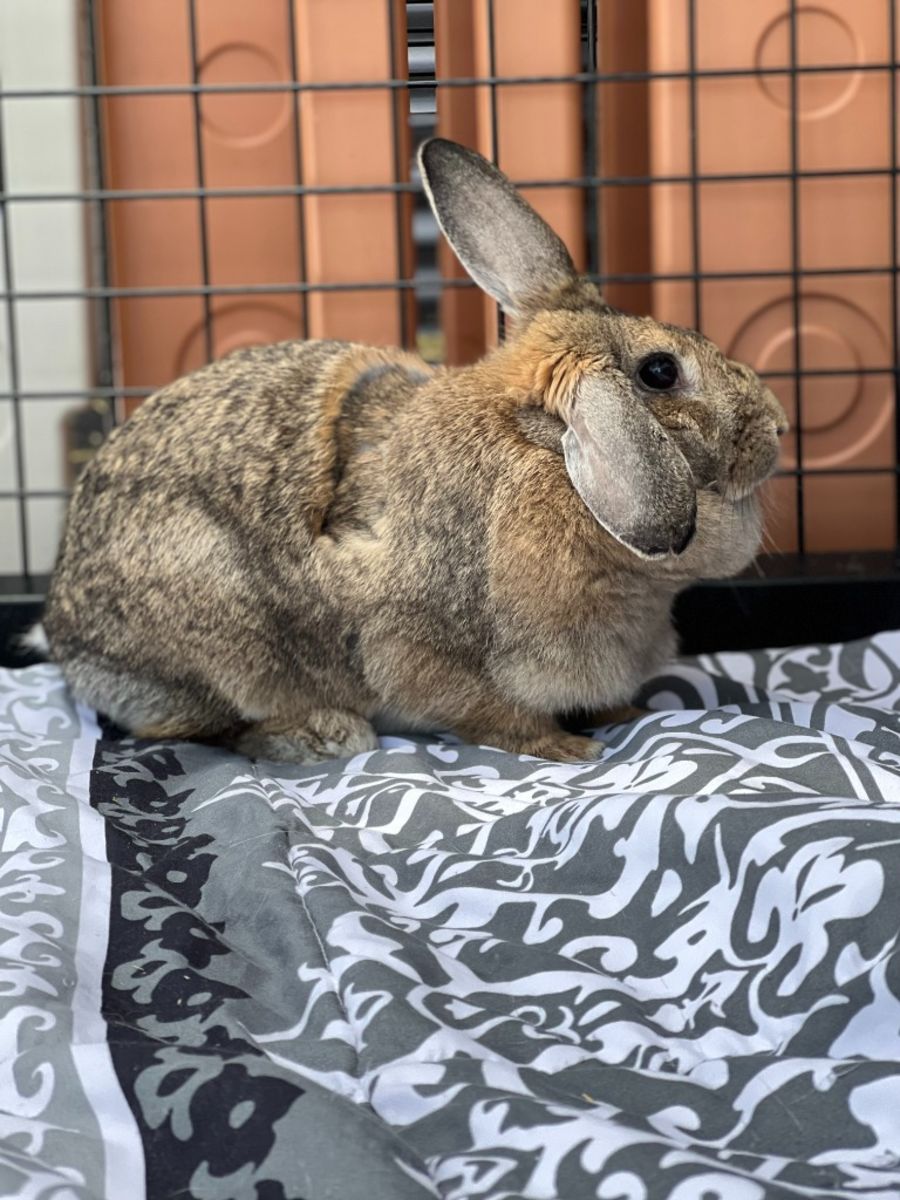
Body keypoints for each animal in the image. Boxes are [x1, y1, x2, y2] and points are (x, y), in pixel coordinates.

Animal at [42, 138, 787, 765]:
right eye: (660, 371)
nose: (778, 428)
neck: (547, 457)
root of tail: (64, 636)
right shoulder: (416, 653)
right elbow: (492, 715)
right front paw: (570, 749)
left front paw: (623, 713)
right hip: (218, 630)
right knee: (199, 725)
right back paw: (319, 735)